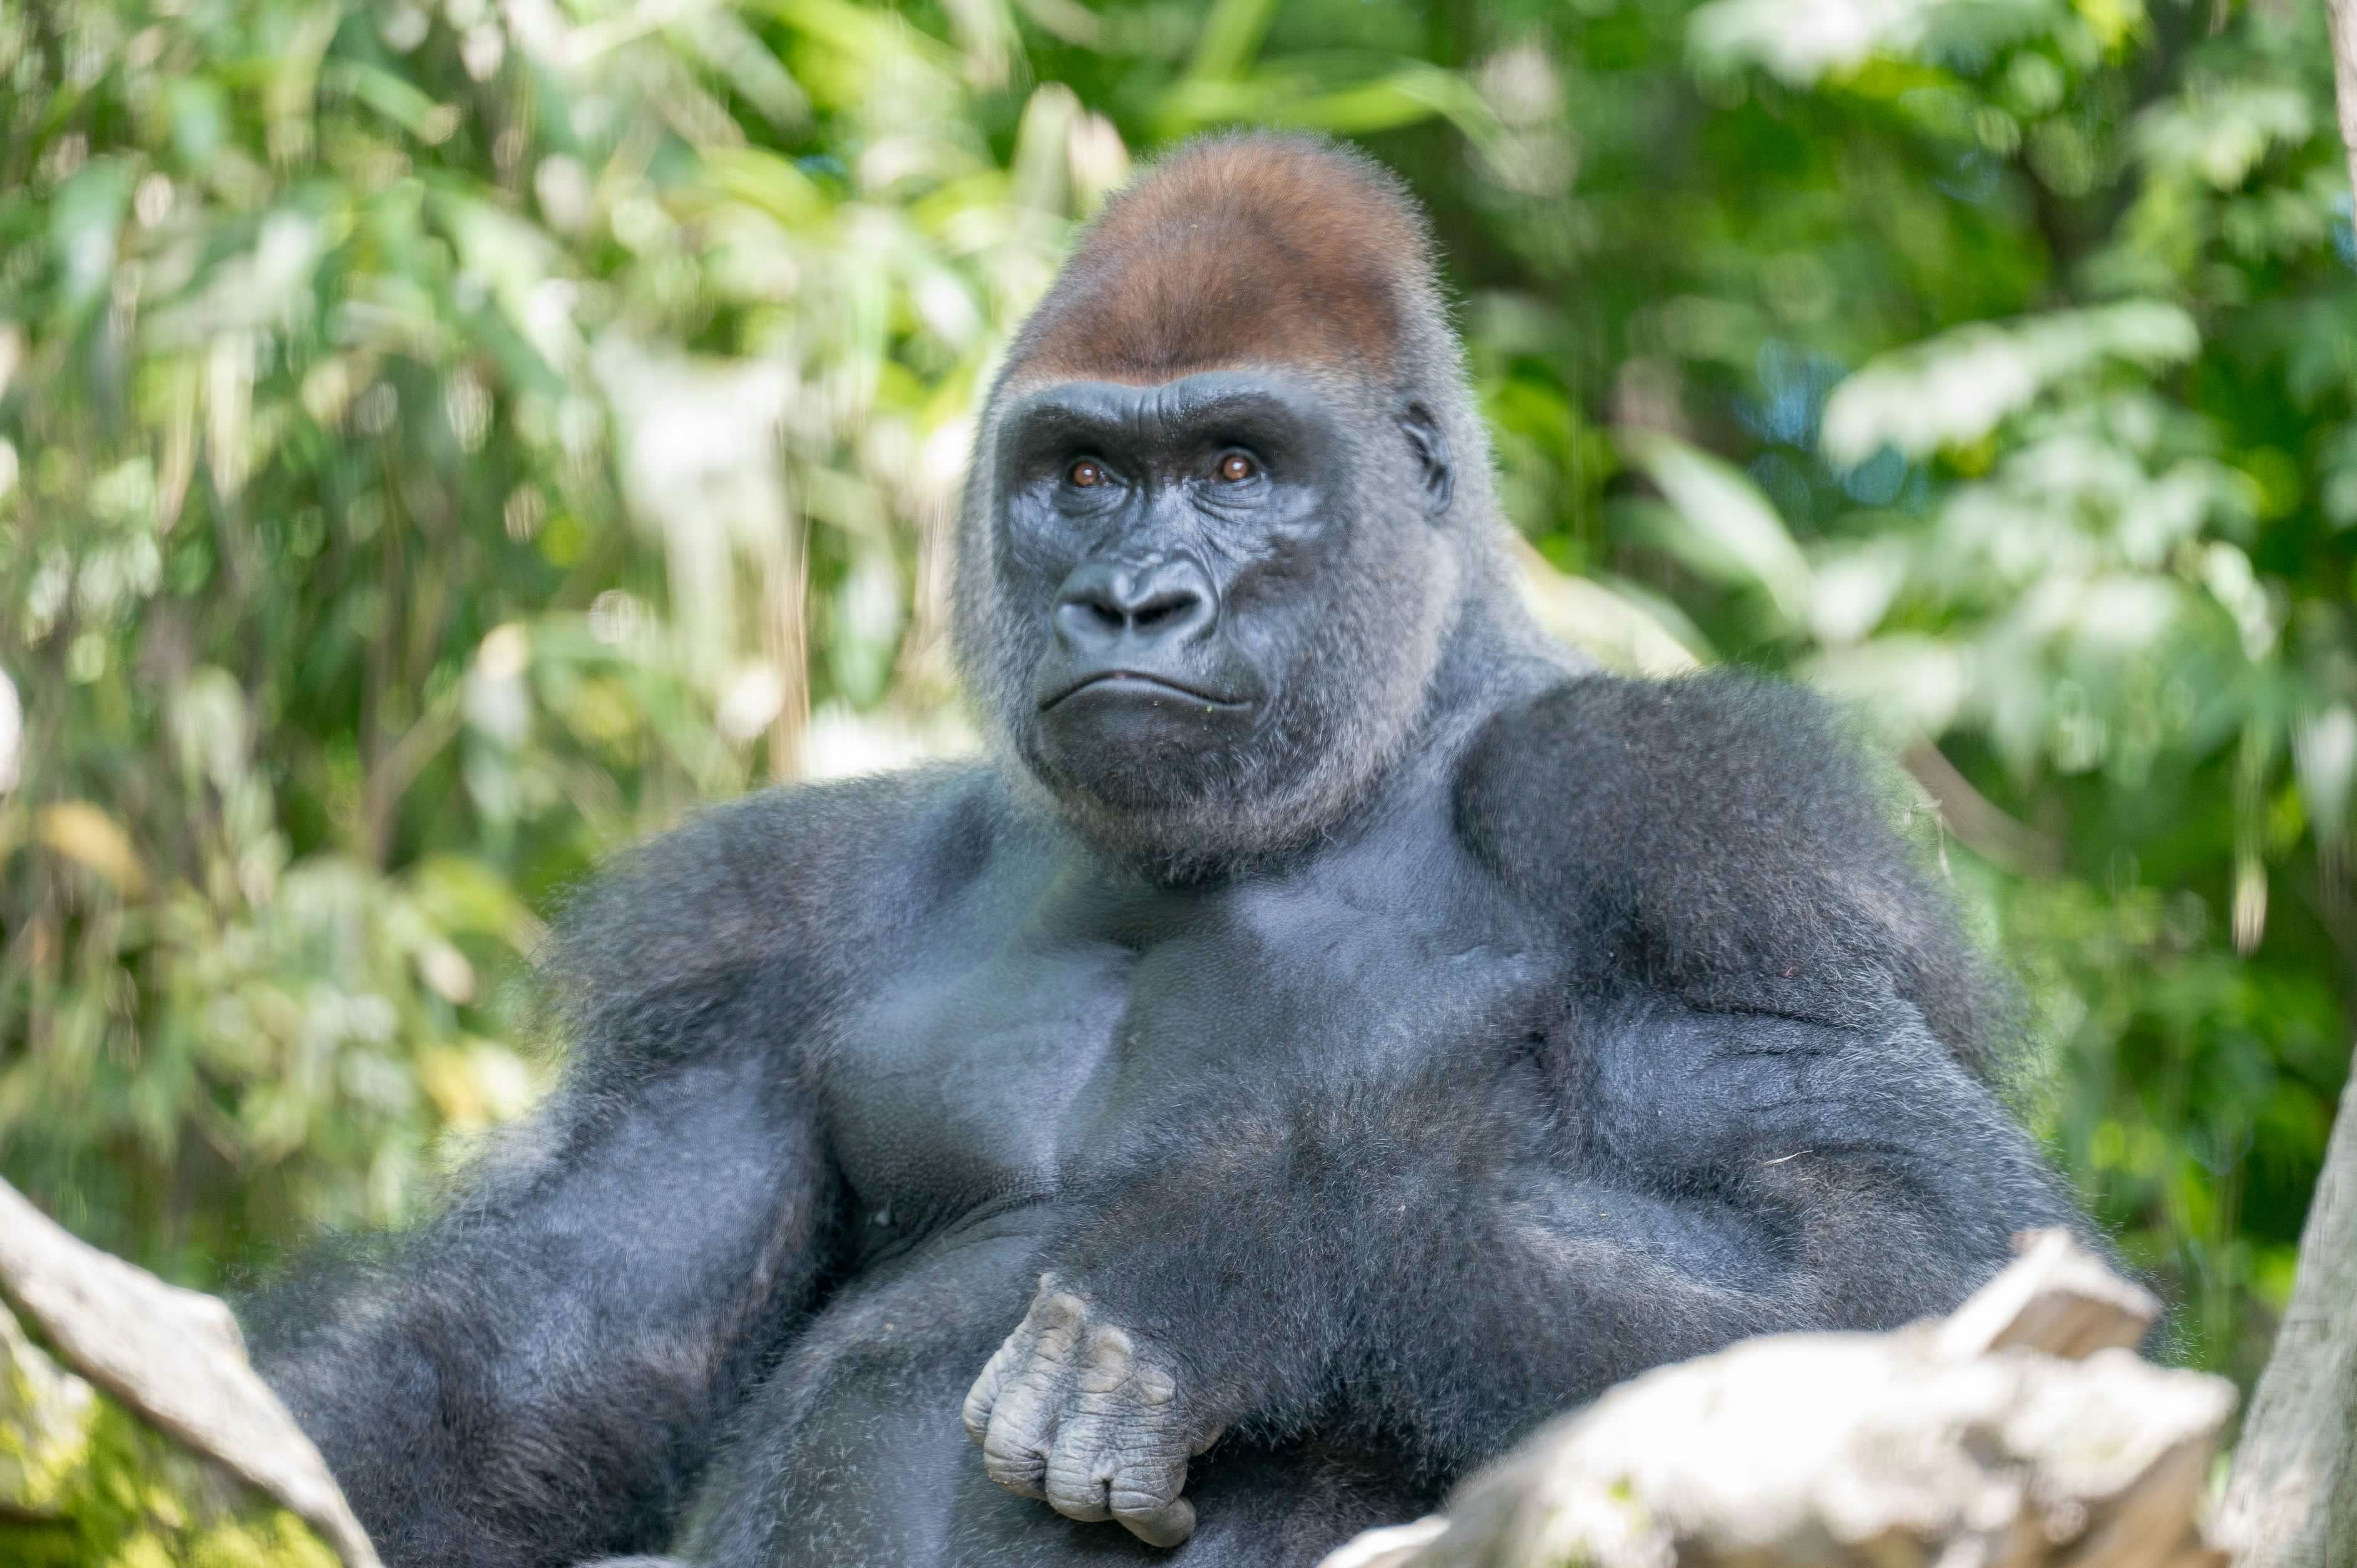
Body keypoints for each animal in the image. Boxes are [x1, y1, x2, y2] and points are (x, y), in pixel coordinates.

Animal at [243, 132, 2088, 1568]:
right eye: (1079, 472)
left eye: (1233, 464)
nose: (1131, 600)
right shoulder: (757, 934)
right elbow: (541, 1357)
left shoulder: (1694, 824)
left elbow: (1904, 1262)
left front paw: (1244, 1266)